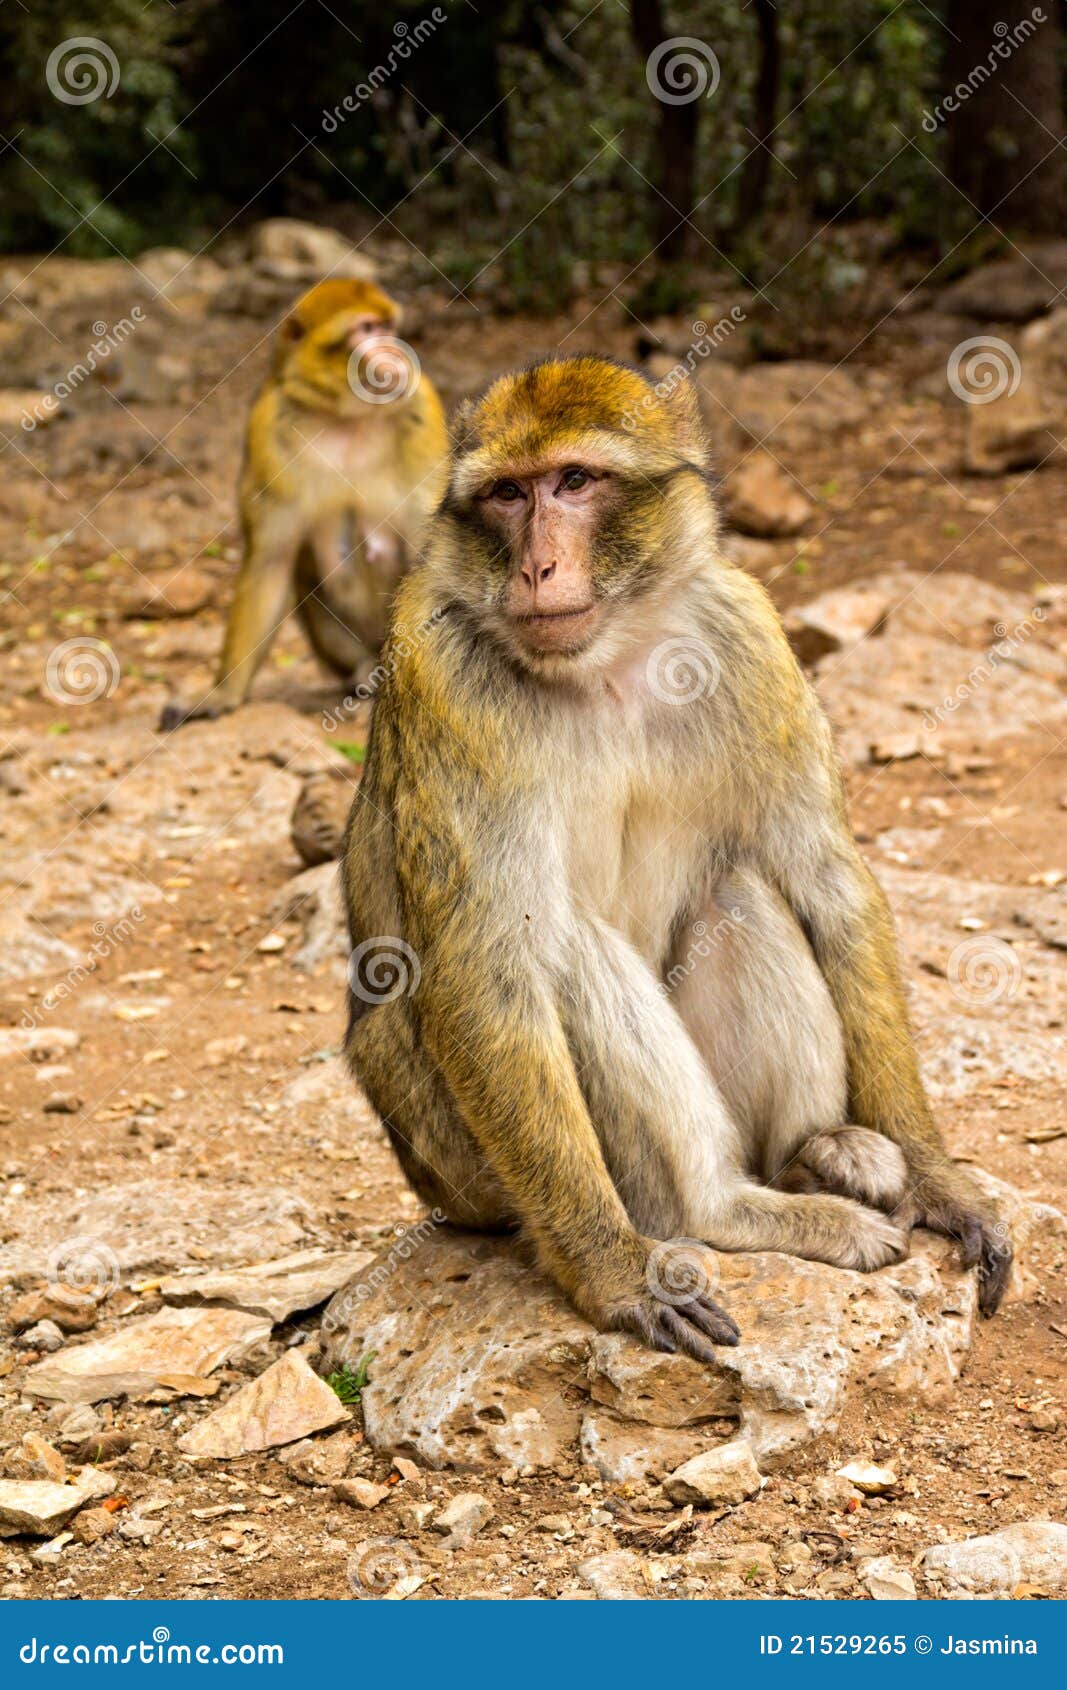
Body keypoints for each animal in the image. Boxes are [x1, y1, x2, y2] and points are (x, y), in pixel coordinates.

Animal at [160, 279, 448, 730]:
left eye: (388, 326)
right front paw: (222, 692)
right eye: (367, 329)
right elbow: (271, 561)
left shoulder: (422, 410)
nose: (397, 350)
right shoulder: (267, 426)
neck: (345, 415)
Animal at [339, 355, 1011, 1362]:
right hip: (461, 1168)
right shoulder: (440, 675)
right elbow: (485, 967)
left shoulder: (748, 633)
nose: (536, 565)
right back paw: (725, 1210)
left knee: (741, 890)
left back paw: (813, 1154)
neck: (606, 659)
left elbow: (826, 885)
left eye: (574, 481)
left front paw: (938, 1181)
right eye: (506, 495)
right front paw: (612, 1272)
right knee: (564, 949)